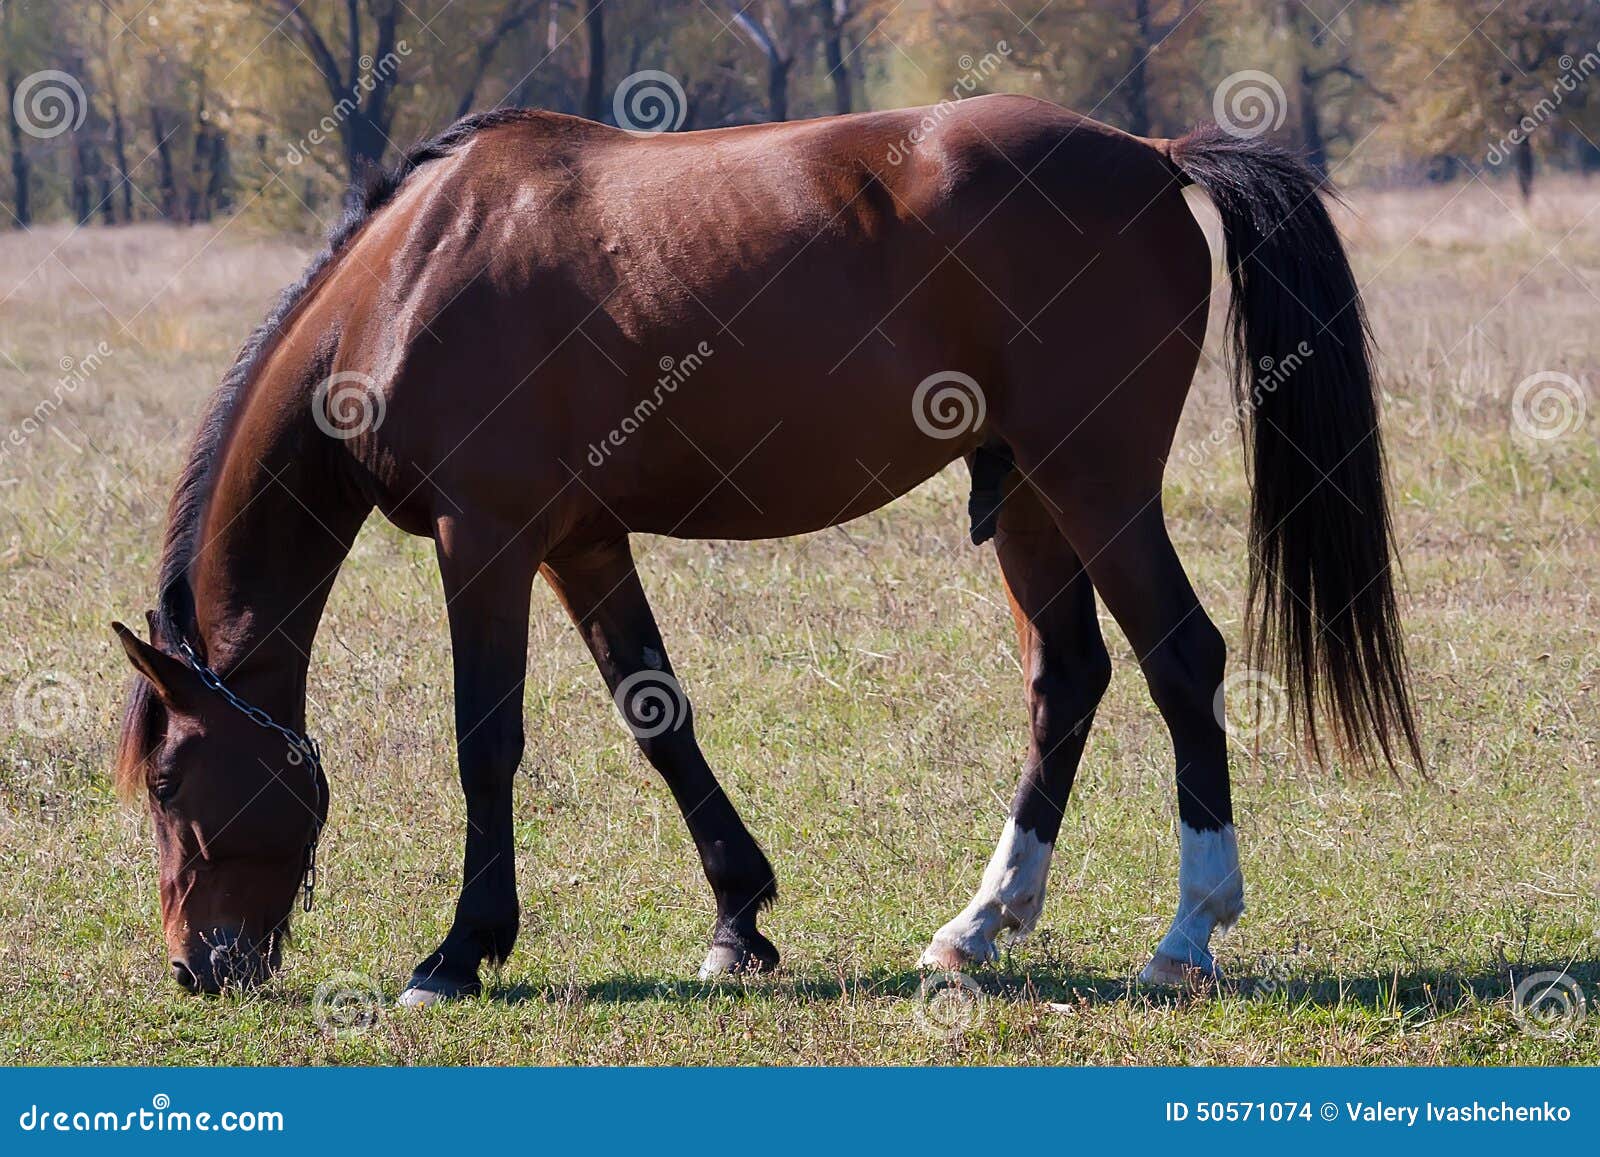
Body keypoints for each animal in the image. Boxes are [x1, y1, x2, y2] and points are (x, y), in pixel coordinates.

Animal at [112, 93, 1422, 1003]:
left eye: (171, 781)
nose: (197, 965)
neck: (408, 275)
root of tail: (1151, 155)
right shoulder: (583, 542)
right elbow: (658, 715)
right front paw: (739, 921)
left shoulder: (484, 539)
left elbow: (486, 742)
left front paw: (459, 951)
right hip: (1031, 499)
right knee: (1069, 679)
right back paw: (981, 922)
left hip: (1096, 485)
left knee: (1182, 661)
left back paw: (1187, 929)